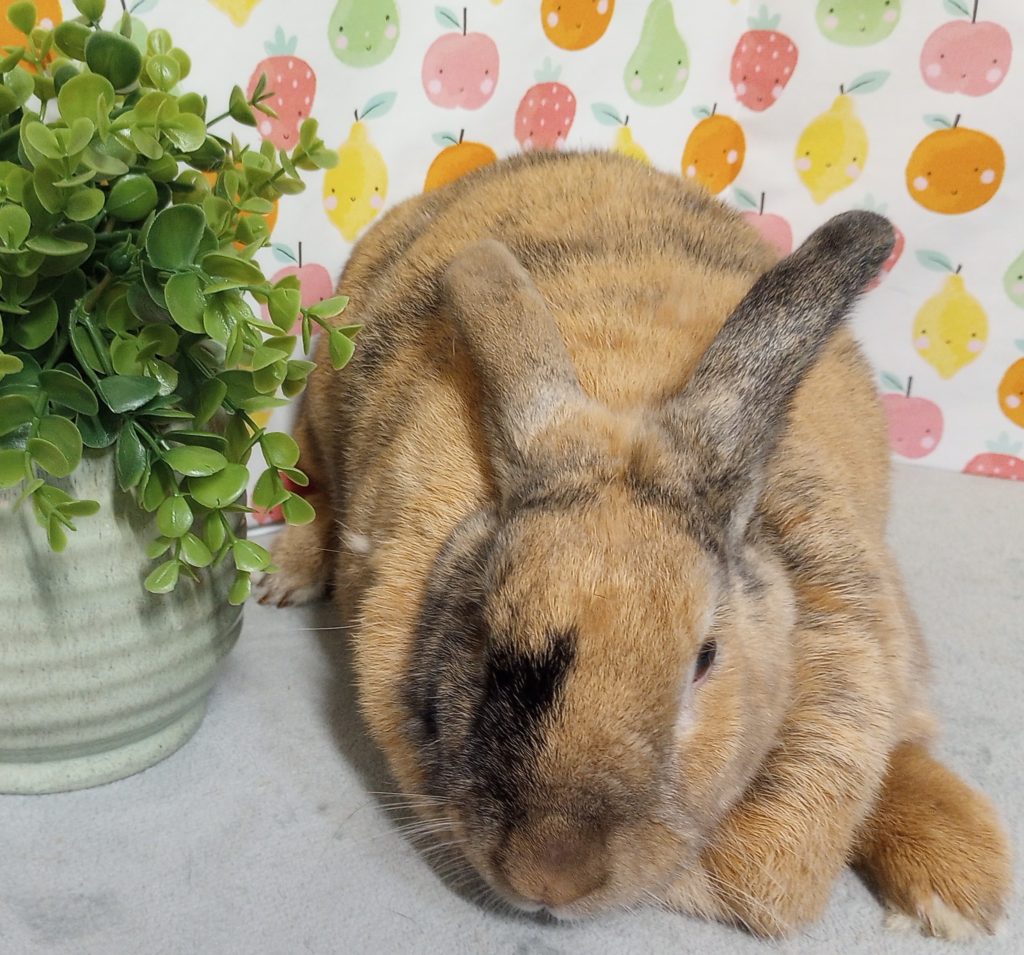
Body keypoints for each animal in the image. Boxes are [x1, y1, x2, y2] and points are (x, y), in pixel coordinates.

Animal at [255, 151, 1011, 939]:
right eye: (489, 642)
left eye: (705, 659)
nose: (548, 874)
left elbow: (901, 749)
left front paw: (961, 891)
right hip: (319, 398)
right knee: (304, 476)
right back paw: (286, 577)